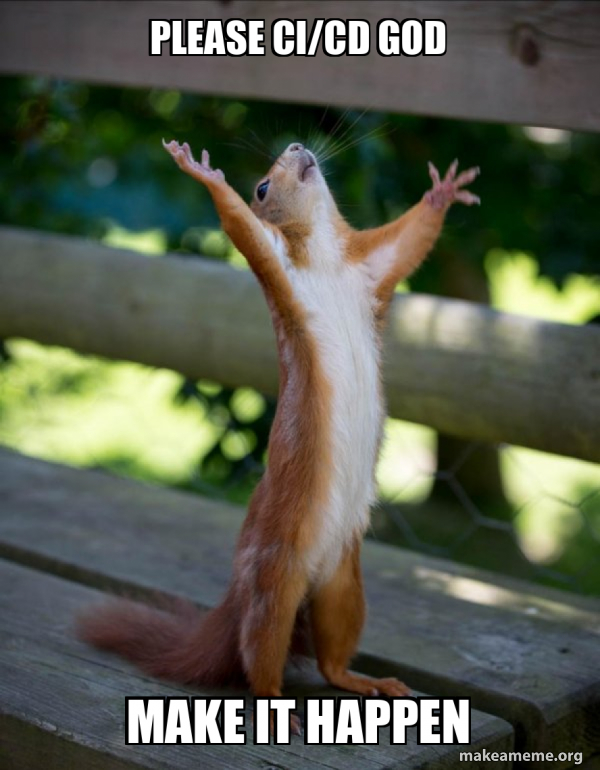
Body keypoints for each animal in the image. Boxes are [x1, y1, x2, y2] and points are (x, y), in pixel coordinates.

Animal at [78, 138, 479, 734]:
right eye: (262, 187)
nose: (296, 147)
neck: (327, 257)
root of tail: (239, 595)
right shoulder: (277, 266)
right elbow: (240, 226)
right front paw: (204, 174)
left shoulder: (372, 267)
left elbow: (409, 241)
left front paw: (443, 192)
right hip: (274, 582)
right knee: (258, 655)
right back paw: (276, 702)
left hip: (344, 586)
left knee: (332, 658)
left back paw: (365, 680)